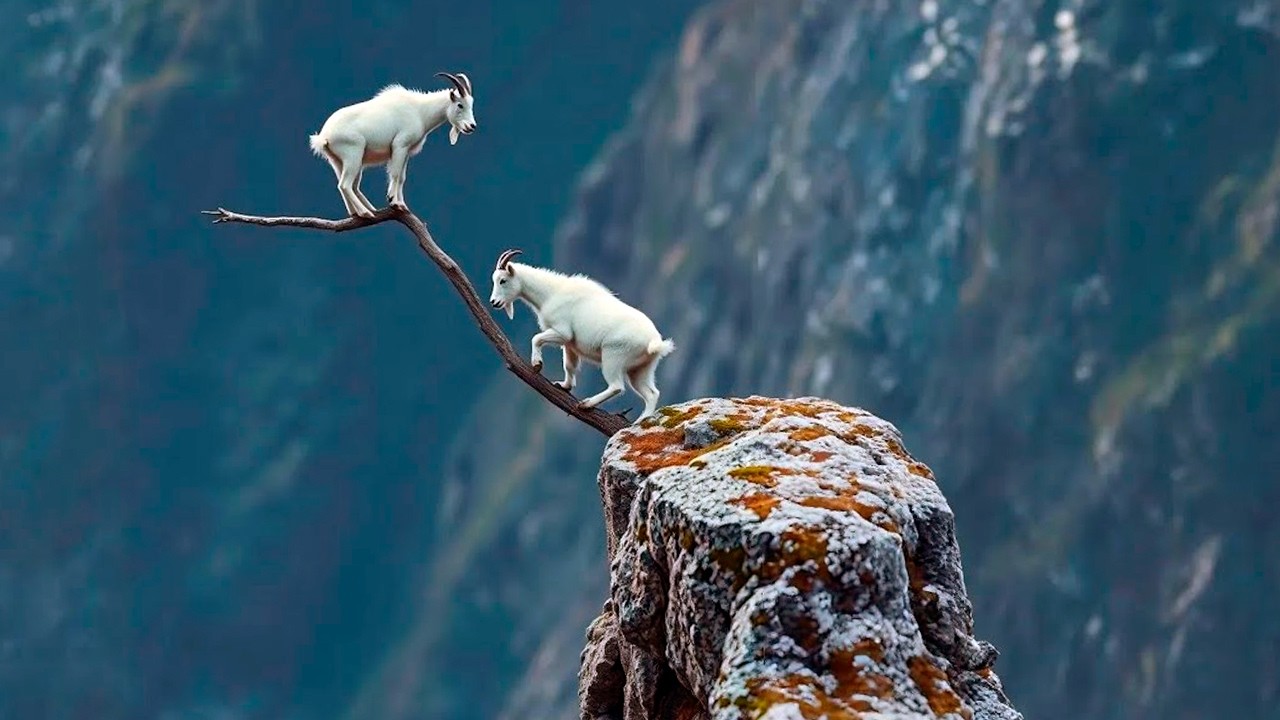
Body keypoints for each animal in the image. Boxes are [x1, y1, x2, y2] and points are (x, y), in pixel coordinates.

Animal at [308, 71, 478, 218]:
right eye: (460, 105)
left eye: (471, 104)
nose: (471, 126)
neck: (420, 111)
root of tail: (324, 136)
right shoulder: (400, 145)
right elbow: (395, 174)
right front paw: (394, 201)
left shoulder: (406, 151)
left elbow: (402, 177)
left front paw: (401, 204)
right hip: (353, 155)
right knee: (345, 185)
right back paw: (365, 213)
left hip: (338, 161)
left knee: (350, 186)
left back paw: (361, 211)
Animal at [487, 249, 676, 421]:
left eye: (503, 280)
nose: (494, 302)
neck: (551, 294)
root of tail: (654, 343)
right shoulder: (570, 345)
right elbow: (569, 366)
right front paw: (564, 386)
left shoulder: (562, 333)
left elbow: (536, 338)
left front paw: (537, 364)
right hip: (640, 370)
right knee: (652, 393)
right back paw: (641, 420)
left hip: (613, 356)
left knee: (617, 386)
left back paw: (587, 404)